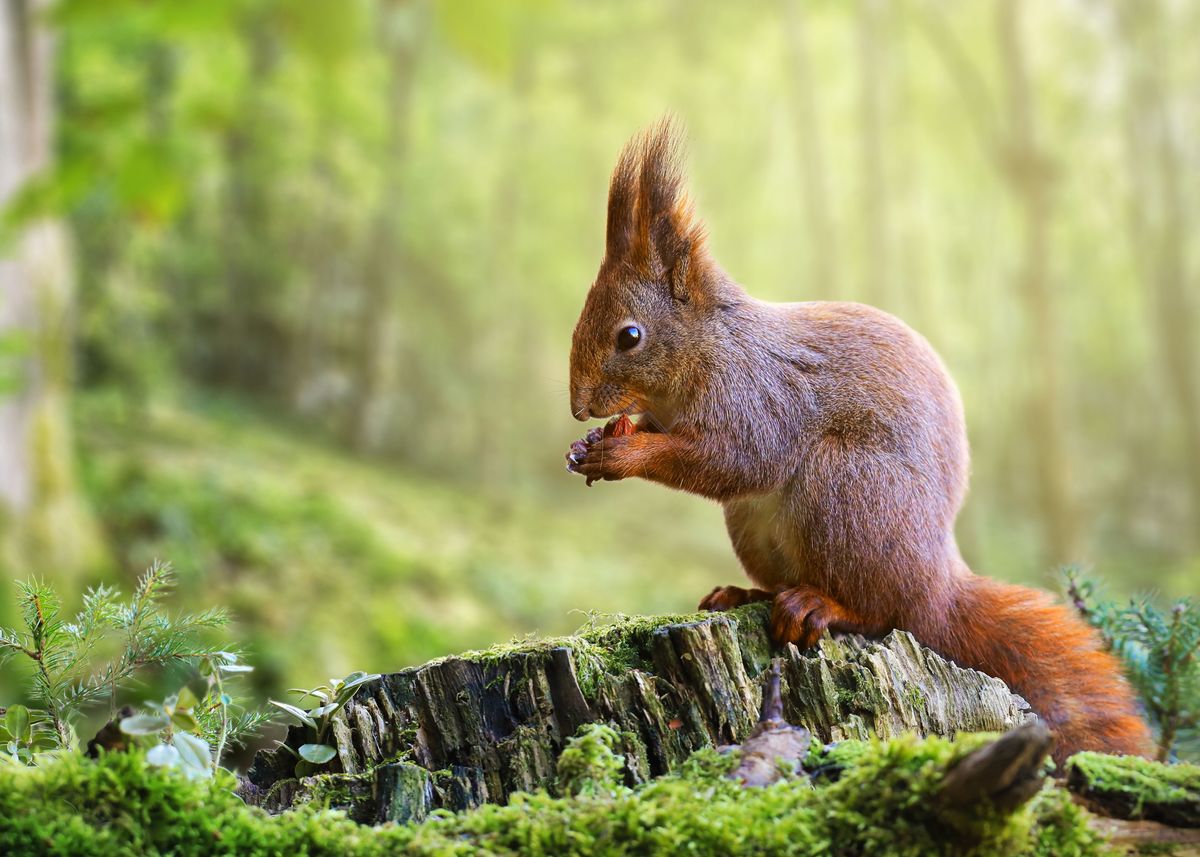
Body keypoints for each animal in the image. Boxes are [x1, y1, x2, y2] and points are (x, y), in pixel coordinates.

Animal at [565, 119, 1151, 762]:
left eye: (630, 336)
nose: (578, 407)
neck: (708, 347)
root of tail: (938, 587)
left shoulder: (759, 398)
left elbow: (735, 461)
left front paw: (623, 454)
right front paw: (586, 447)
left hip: (848, 491)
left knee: (882, 612)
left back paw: (820, 605)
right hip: (760, 524)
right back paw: (743, 595)